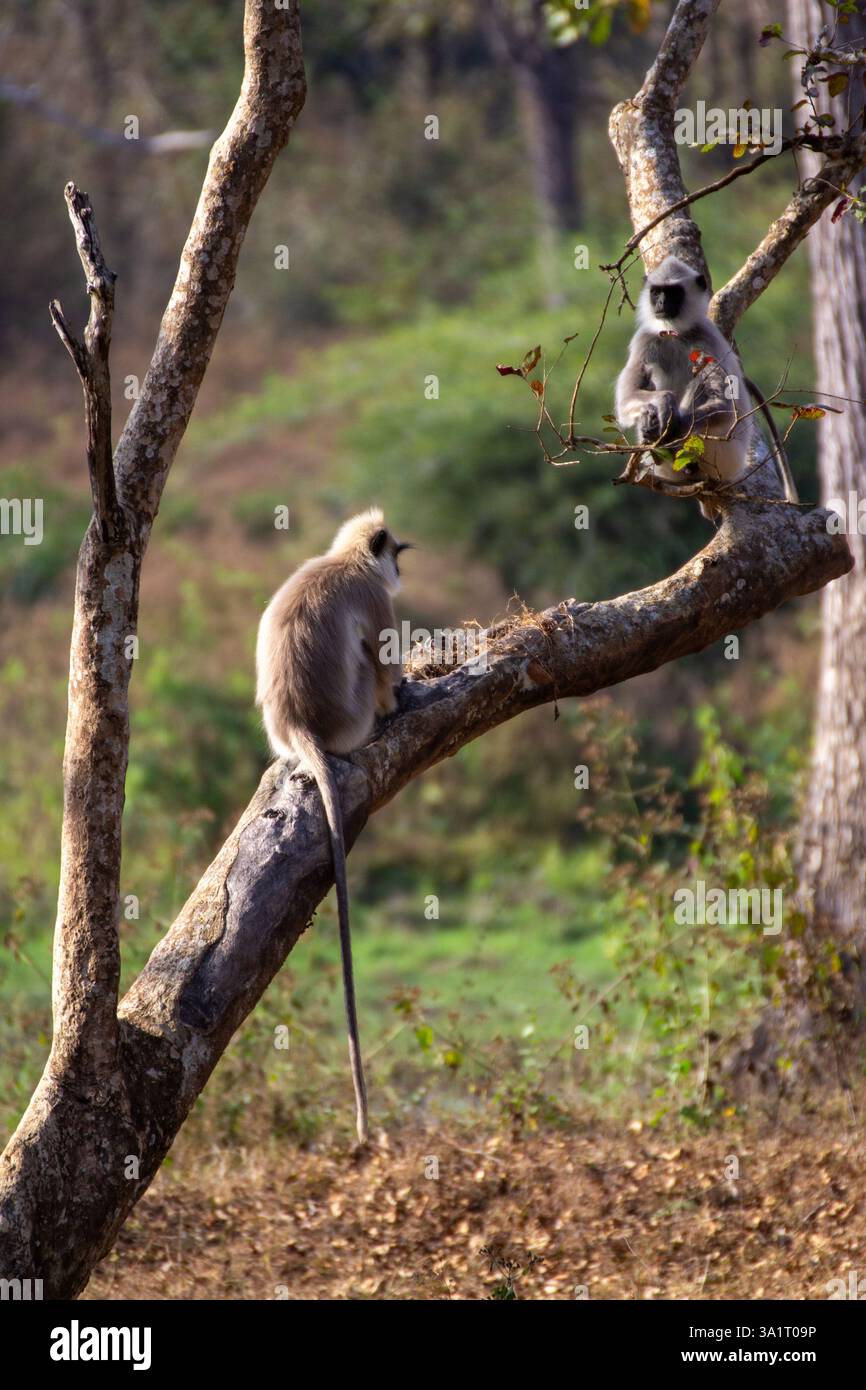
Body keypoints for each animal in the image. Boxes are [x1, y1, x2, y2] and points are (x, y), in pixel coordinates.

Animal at [615, 255, 798, 512]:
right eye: (656, 292)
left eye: (673, 293)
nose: (660, 302)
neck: (676, 333)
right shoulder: (645, 339)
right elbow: (626, 400)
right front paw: (657, 412)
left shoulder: (706, 338)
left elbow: (725, 407)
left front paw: (669, 424)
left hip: (724, 458)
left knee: (702, 382)